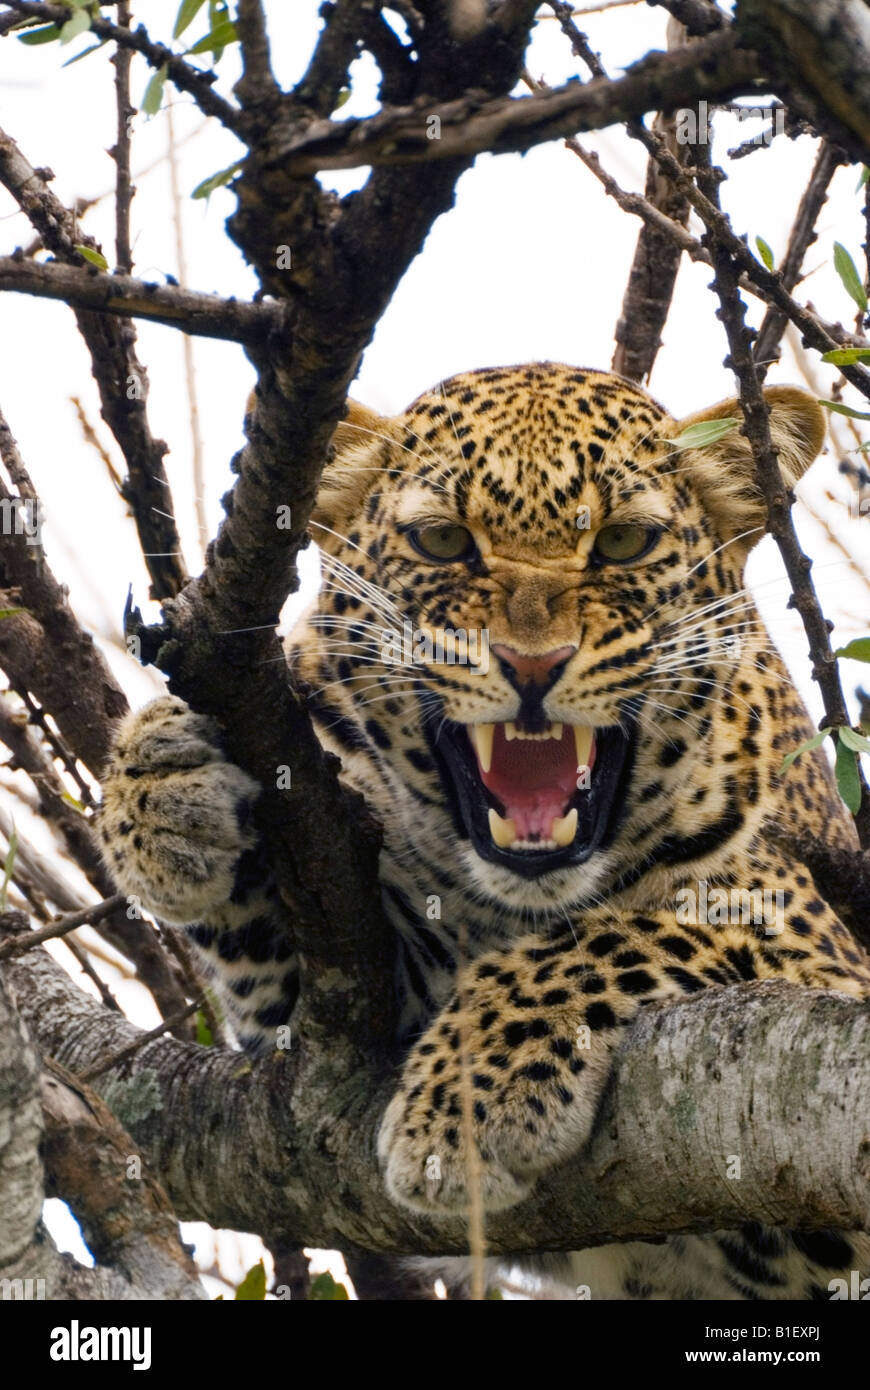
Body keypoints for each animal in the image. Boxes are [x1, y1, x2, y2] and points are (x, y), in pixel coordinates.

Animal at [100, 361, 870, 1299]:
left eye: (623, 544)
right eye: (440, 542)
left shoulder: (820, 966)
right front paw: (165, 779)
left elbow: (631, 928)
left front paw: (465, 1102)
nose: (531, 664)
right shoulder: (349, 1004)